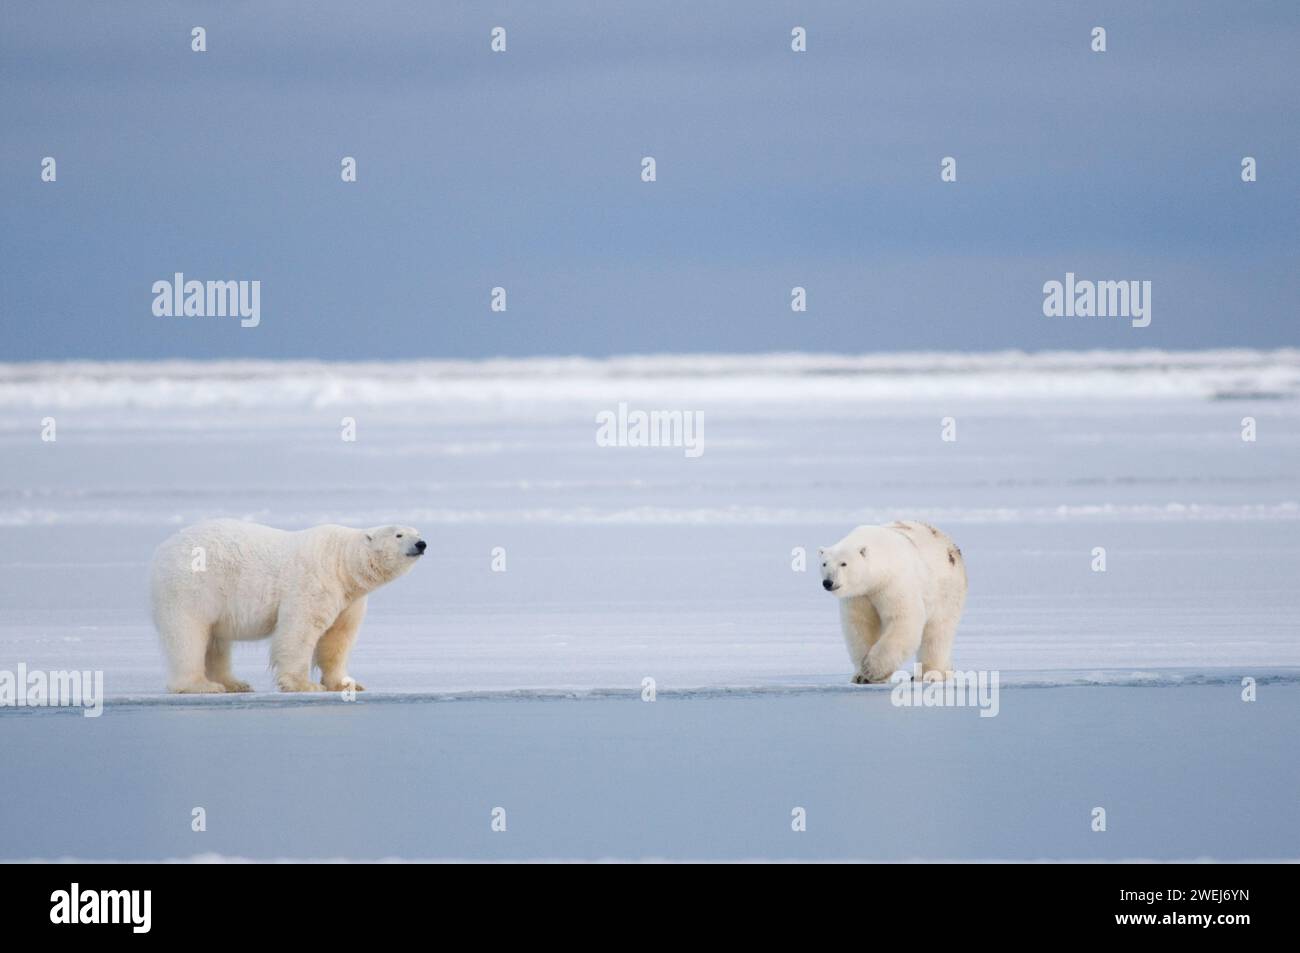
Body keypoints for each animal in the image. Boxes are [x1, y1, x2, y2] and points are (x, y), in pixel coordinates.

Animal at [149, 519, 426, 693]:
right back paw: (200, 685)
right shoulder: (315, 582)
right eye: (399, 534)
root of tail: (162, 551)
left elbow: (337, 639)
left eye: (417, 531)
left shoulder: (349, 601)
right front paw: (304, 685)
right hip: (191, 587)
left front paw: (347, 684)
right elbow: (300, 630)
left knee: (217, 642)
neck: (341, 562)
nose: (421, 544)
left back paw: (235, 683)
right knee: (188, 634)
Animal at [820, 521, 967, 684]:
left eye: (843, 563)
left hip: (945, 591)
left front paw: (871, 669)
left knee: (937, 632)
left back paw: (929, 674)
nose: (828, 582)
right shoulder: (860, 595)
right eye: (824, 564)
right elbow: (860, 625)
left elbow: (903, 619)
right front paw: (860, 676)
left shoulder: (894, 583)